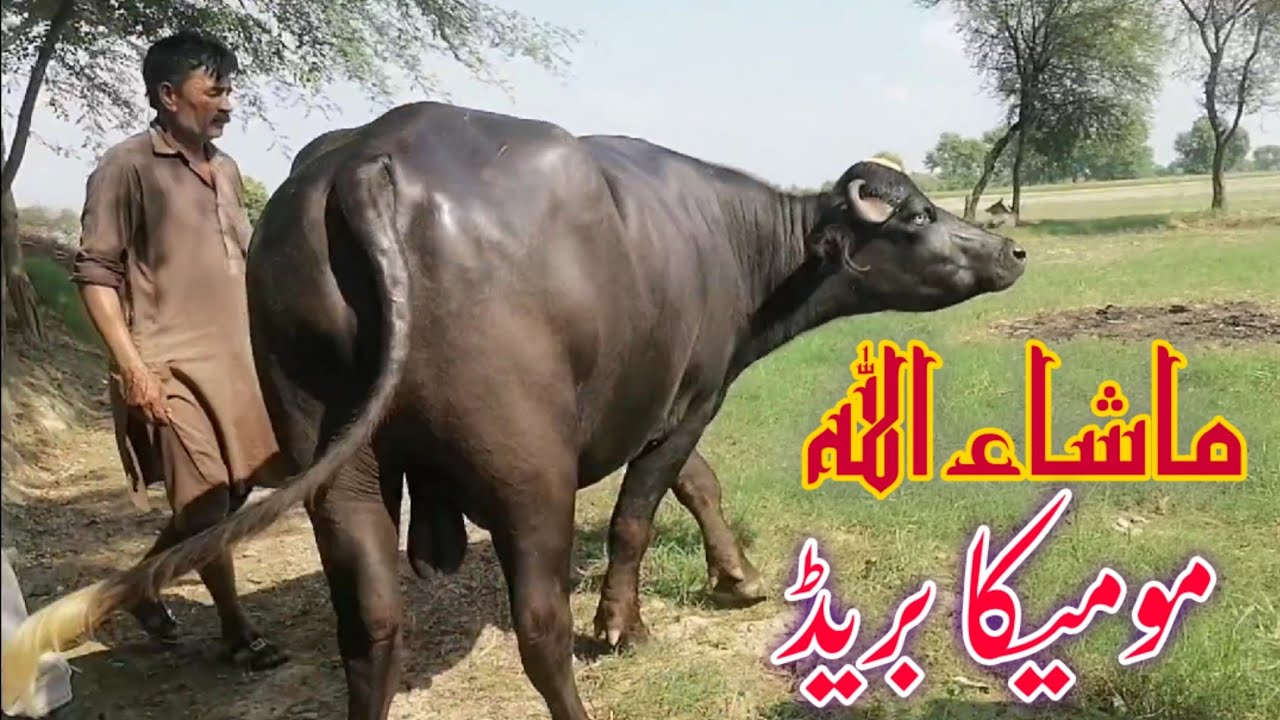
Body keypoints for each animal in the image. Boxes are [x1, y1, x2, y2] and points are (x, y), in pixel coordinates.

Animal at [1, 100, 1027, 720]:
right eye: (919, 215)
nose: (1012, 251)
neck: (738, 244)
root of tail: (365, 164)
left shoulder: (664, 398)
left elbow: (697, 485)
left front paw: (735, 578)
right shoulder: (693, 395)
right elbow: (643, 510)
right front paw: (626, 624)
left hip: (334, 456)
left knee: (368, 624)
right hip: (525, 469)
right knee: (537, 624)